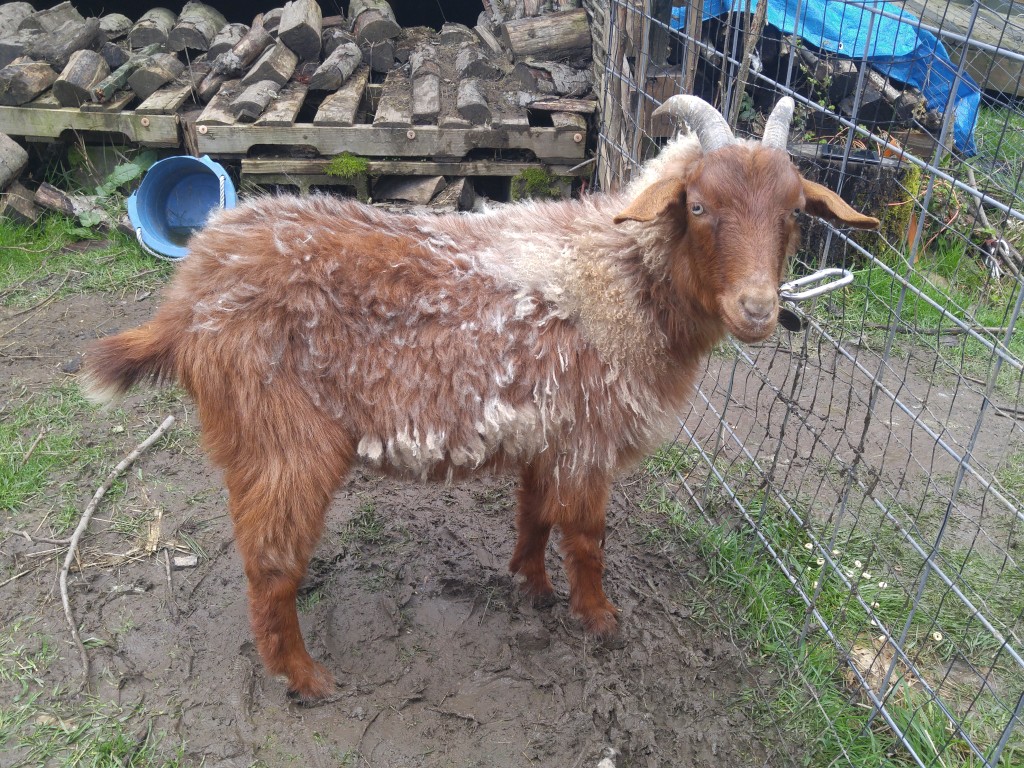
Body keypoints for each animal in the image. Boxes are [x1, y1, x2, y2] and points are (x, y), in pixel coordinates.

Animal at [83, 96, 878, 701]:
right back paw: (306, 678)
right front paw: (600, 618)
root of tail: (188, 296)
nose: (758, 311)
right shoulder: (587, 439)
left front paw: (531, 585)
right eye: (701, 205)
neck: (616, 279)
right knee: (270, 559)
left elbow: (535, 515)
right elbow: (586, 537)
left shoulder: (546, 431)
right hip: (281, 437)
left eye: (795, 212)